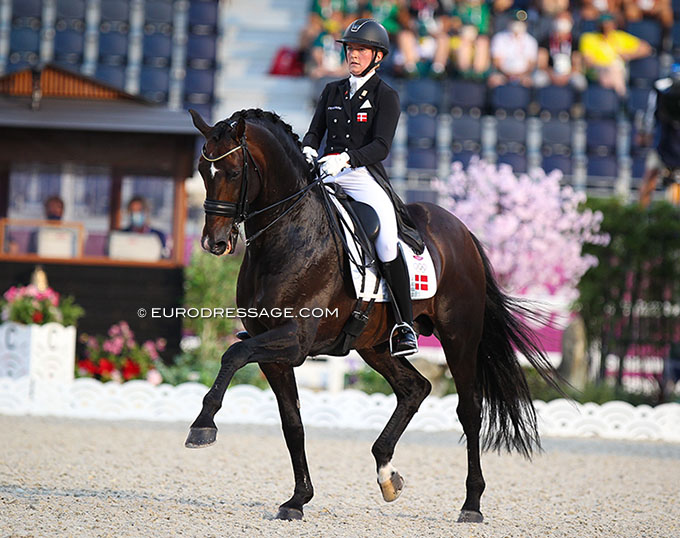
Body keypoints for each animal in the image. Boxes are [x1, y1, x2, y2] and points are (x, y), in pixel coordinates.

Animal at [186, 107, 557, 523]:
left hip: (459, 338)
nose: (214, 243)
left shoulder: (294, 341)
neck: (288, 235)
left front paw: (202, 426)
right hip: (376, 345)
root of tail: (460, 229)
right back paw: (387, 474)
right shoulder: (273, 353)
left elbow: (232, 354)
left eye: (234, 172)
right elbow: (292, 423)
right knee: (415, 388)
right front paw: (297, 499)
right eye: (202, 170)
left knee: (469, 409)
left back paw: (471, 504)